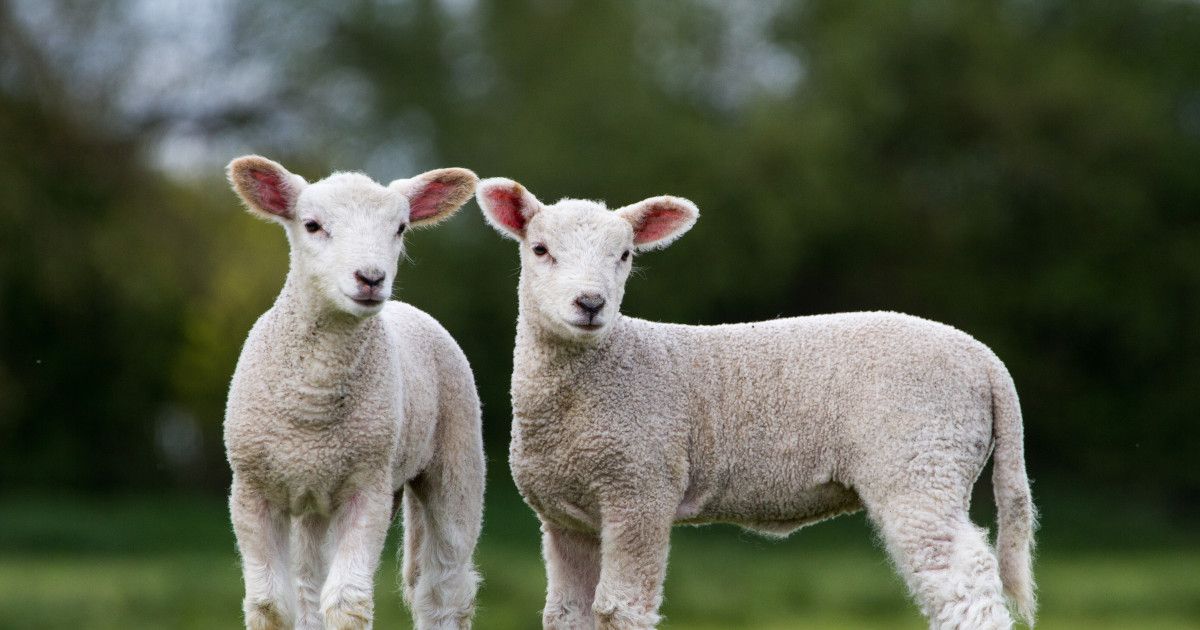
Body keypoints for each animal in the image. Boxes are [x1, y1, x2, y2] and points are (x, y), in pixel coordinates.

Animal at [224, 155, 485, 630]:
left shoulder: (368, 487)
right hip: (313, 499)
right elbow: (270, 606)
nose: (370, 278)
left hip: (457, 455)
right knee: (308, 587)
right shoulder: (252, 489)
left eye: (400, 227)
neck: (313, 402)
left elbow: (347, 602)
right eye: (311, 225)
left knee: (445, 588)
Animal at [476, 178, 1038, 630]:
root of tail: (984, 359)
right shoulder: (567, 518)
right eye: (540, 249)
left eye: (626, 256)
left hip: (921, 460)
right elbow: (567, 615)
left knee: (964, 583)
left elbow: (621, 610)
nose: (591, 304)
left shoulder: (641, 490)